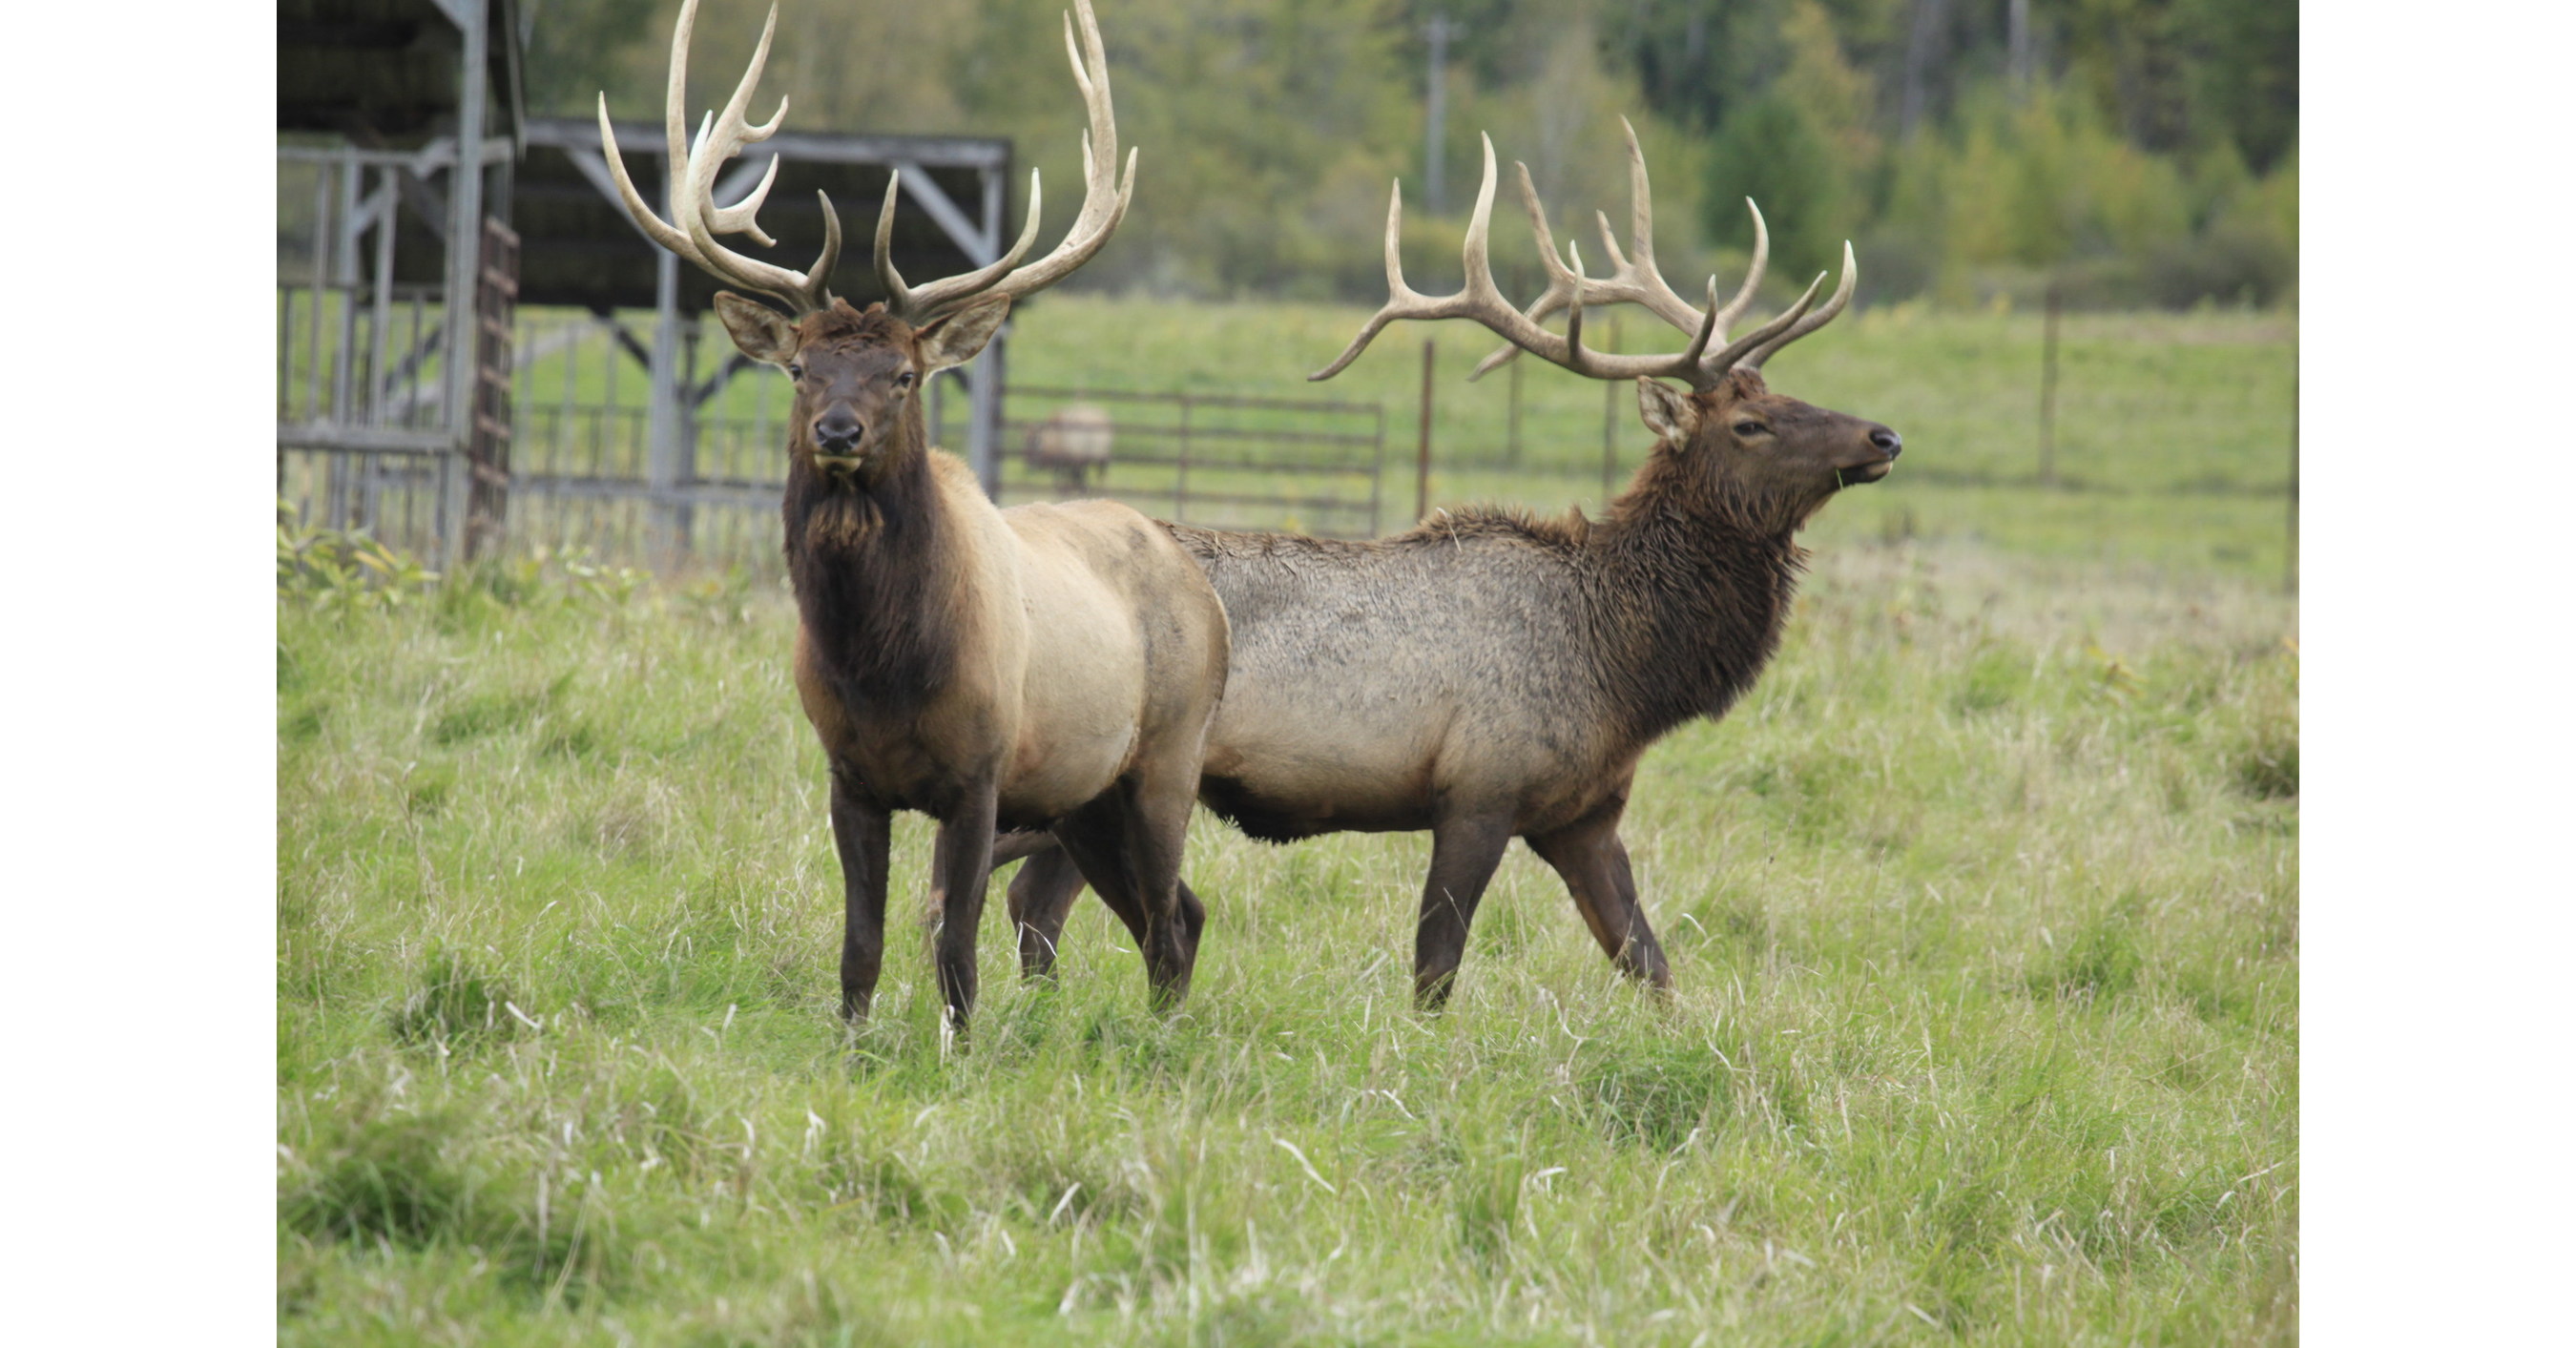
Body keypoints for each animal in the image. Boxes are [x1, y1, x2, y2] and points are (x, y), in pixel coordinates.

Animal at [598, 0, 1230, 1034]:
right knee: (1172, 912)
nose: (839, 430)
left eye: (903, 373)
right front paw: (852, 1050)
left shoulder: (979, 775)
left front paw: (958, 1049)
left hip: (1168, 760)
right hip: (1086, 798)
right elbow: (861, 946)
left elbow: (956, 947)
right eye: (802, 367)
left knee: (1170, 917)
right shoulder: (848, 777)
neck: (884, 669)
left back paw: (1165, 1043)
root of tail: (1198, 580)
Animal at [995, 125, 1901, 1010]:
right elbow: (1436, 966)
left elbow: (1651, 966)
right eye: (1750, 423)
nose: (1883, 436)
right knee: (1038, 896)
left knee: (1037, 897)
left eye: (1787, 395)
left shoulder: (1585, 816)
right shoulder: (1478, 789)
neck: (1621, 669)